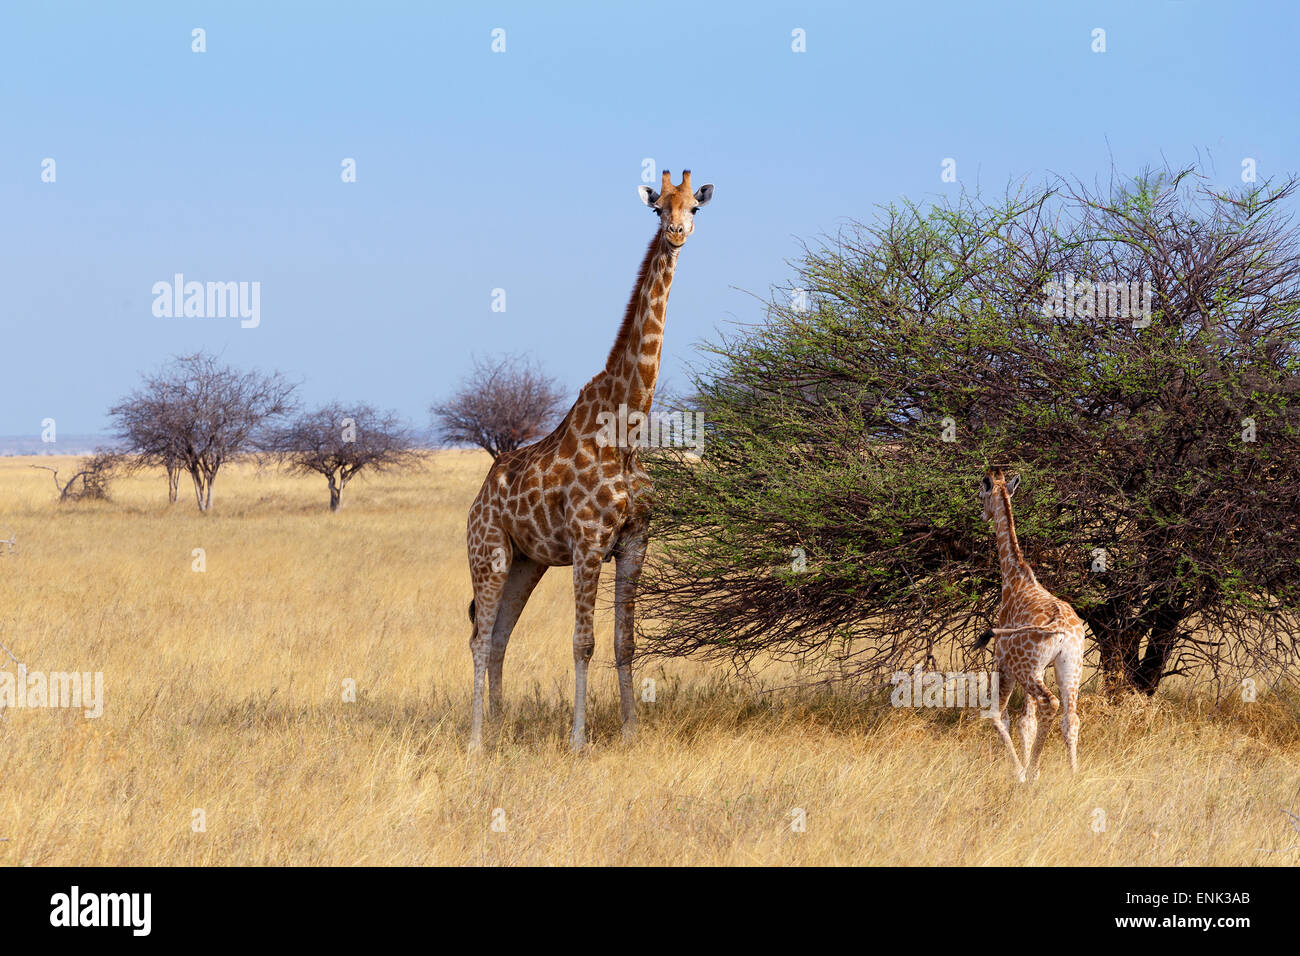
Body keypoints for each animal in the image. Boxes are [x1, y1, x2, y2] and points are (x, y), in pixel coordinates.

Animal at [463, 169, 714, 751]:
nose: (677, 232)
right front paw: (579, 740)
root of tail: (477, 503)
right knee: (480, 638)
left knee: (500, 636)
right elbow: (583, 642)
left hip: (525, 562)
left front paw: (630, 733)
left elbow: (624, 644)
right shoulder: (587, 542)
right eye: (658, 207)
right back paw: (477, 739)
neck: (625, 431)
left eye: (695, 206)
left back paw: (502, 729)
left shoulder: (634, 543)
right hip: (488, 554)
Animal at [974, 466, 1085, 782]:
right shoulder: (1042, 667)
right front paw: (1024, 768)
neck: (1014, 579)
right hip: (1070, 666)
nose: (982, 514)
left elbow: (1000, 715)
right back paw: (1073, 774)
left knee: (1049, 704)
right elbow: (1026, 722)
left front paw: (1020, 772)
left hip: (1026, 669)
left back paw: (1033, 770)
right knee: (1070, 717)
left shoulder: (1003, 662)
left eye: (980, 493)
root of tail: (1059, 627)